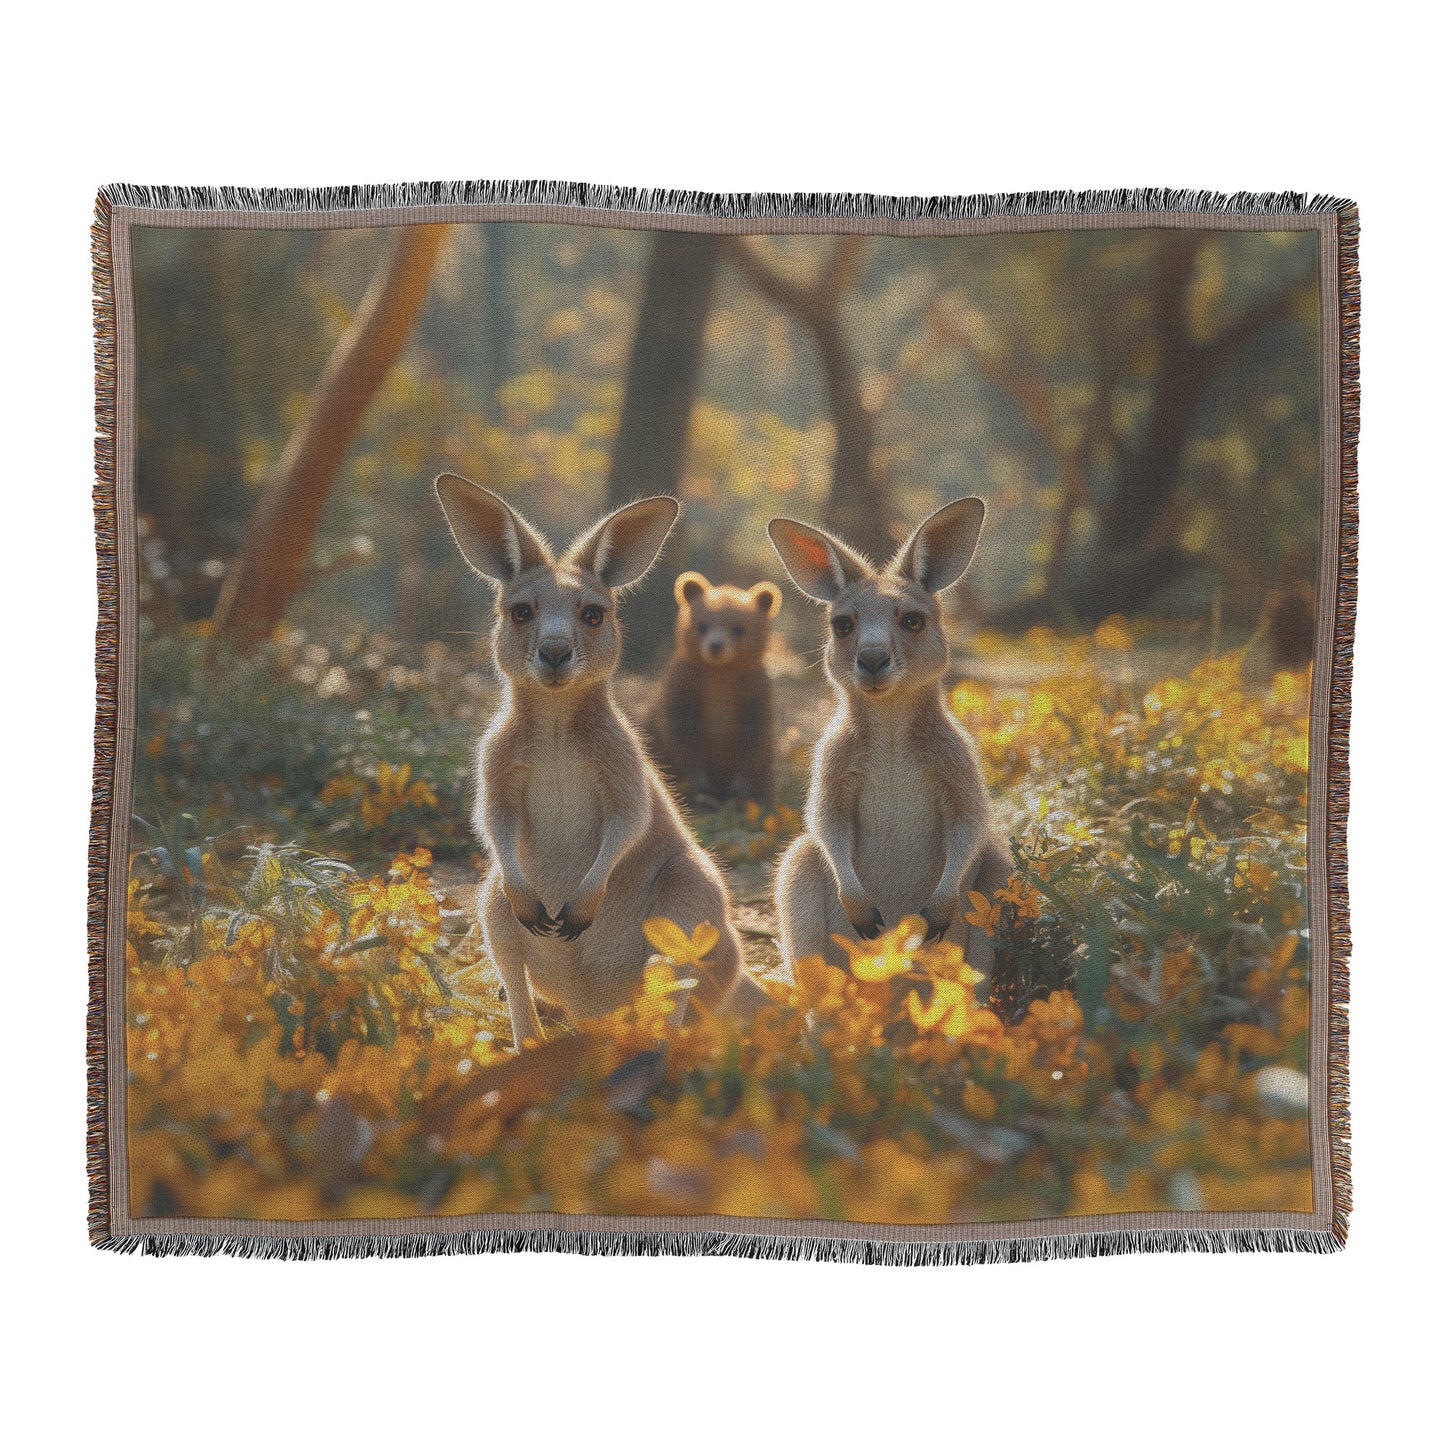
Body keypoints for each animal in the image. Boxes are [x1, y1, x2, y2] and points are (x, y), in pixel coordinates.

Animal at [646, 571, 782, 806]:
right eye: (702, 626)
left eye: (738, 628)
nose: (716, 646)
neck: (720, 673)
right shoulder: (687, 683)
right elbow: (682, 730)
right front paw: (699, 783)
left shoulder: (751, 688)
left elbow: (753, 735)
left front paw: (739, 786)